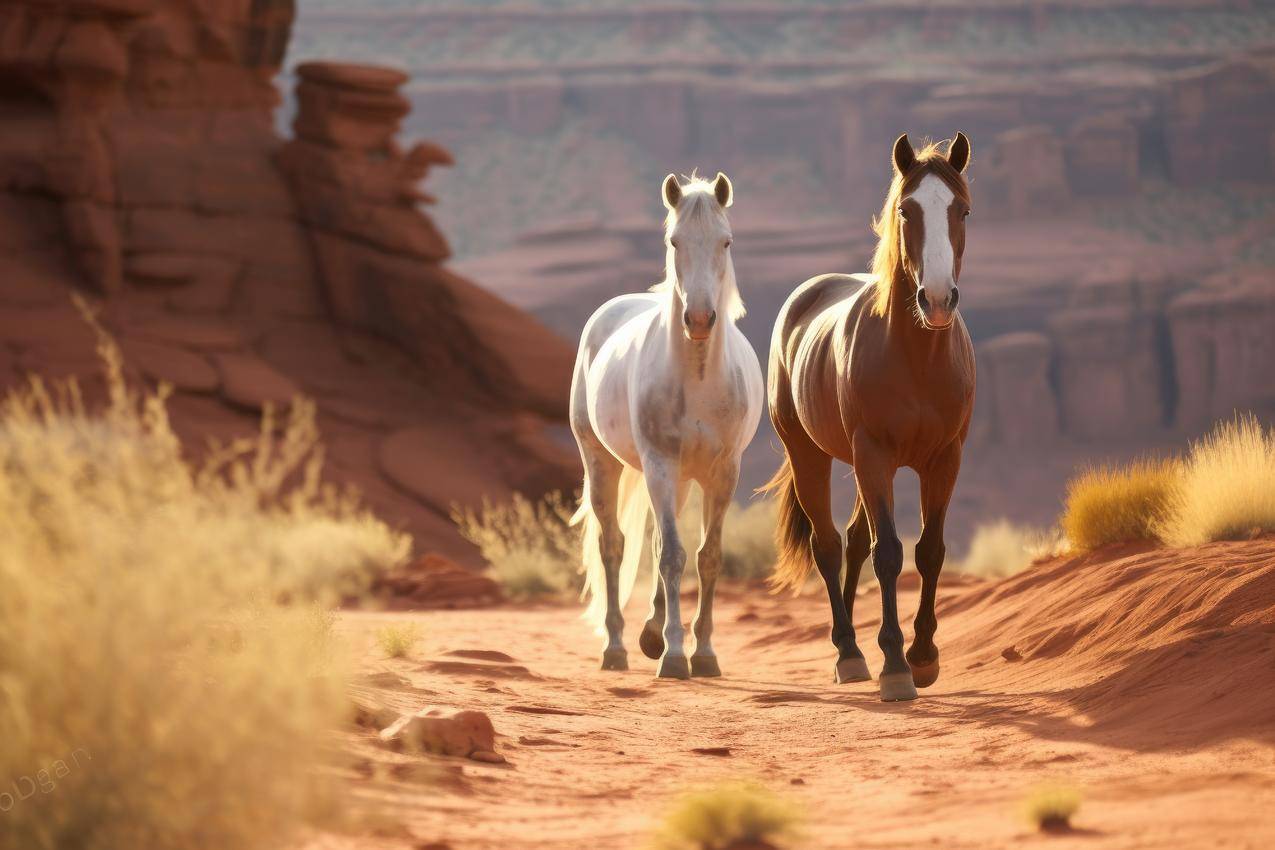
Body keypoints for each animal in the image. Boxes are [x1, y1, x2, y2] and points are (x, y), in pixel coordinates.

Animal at [569, 171, 764, 679]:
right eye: (674, 241)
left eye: (725, 241)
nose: (698, 319)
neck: (698, 378)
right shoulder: (658, 464)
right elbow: (674, 557)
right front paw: (676, 655)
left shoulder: (722, 473)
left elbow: (707, 557)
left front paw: (705, 652)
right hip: (603, 462)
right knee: (614, 545)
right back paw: (617, 646)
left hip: (679, 479)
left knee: (657, 541)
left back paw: (650, 634)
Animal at [762, 133, 975, 702]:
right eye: (906, 209)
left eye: (963, 210)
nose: (937, 299)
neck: (916, 357)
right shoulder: (873, 456)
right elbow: (889, 555)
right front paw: (896, 665)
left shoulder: (944, 460)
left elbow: (930, 551)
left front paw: (923, 655)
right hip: (812, 456)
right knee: (830, 546)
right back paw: (850, 652)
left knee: (855, 541)